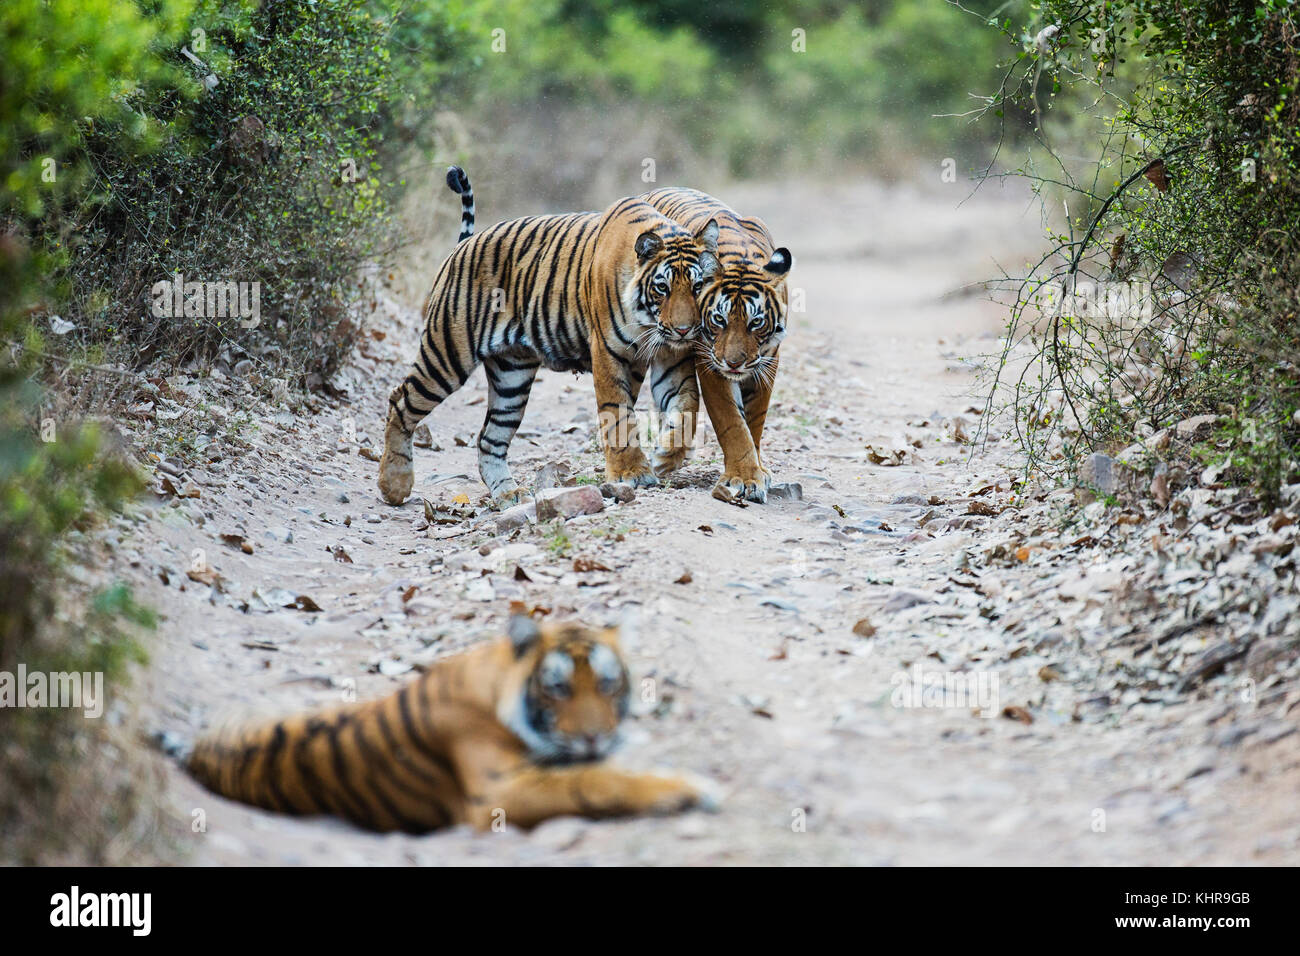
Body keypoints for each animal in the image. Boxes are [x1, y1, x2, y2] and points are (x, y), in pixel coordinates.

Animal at [186, 615, 715, 833]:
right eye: (559, 688)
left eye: (607, 684)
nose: (594, 737)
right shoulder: (497, 793)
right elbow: (595, 782)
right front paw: (690, 788)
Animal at [378, 167, 720, 507]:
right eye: (662, 288)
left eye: (697, 287)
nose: (684, 330)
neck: (650, 325)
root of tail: (463, 245)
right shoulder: (608, 354)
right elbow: (618, 414)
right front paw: (630, 473)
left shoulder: (671, 358)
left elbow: (687, 405)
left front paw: (666, 457)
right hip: (448, 352)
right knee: (400, 402)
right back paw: (394, 484)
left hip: (511, 376)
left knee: (489, 438)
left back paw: (509, 493)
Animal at [641, 187, 793, 503]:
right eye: (719, 320)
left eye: (755, 322)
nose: (734, 363)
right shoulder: (711, 364)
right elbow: (732, 422)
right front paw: (744, 477)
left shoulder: (767, 362)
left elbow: (754, 421)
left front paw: (757, 471)